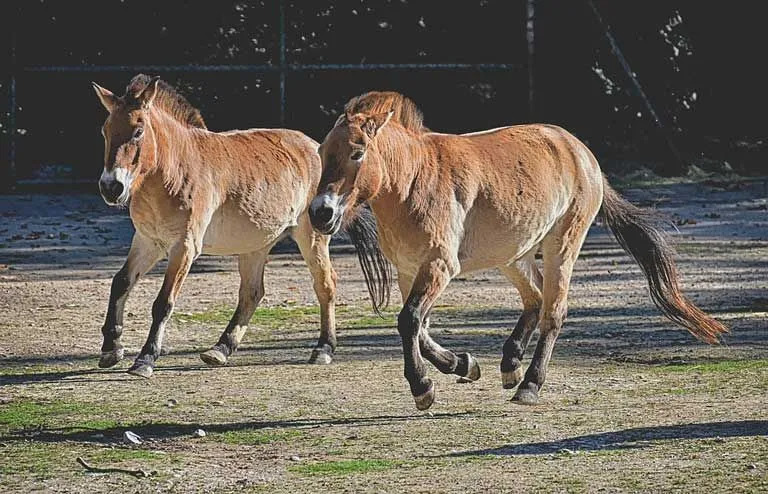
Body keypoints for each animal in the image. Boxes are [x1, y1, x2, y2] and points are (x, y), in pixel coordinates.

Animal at [93, 73, 340, 376]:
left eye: (138, 131)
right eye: (105, 130)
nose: (111, 187)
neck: (173, 170)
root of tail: (315, 147)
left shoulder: (184, 247)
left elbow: (163, 302)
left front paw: (146, 359)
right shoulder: (148, 241)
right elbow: (121, 282)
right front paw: (111, 348)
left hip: (311, 236)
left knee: (325, 284)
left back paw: (323, 349)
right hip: (255, 245)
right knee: (252, 293)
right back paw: (220, 349)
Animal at [308, 91, 728, 410]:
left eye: (358, 152)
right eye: (323, 152)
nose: (320, 213)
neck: (413, 181)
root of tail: (582, 154)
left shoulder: (439, 266)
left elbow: (409, 321)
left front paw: (423, 388)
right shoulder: (410, 271)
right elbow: (418, 327)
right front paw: (463, 364)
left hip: (561, 246)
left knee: (553, 311)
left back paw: (529, 385)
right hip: (513, 254)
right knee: (535, 298)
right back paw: (510, 364)